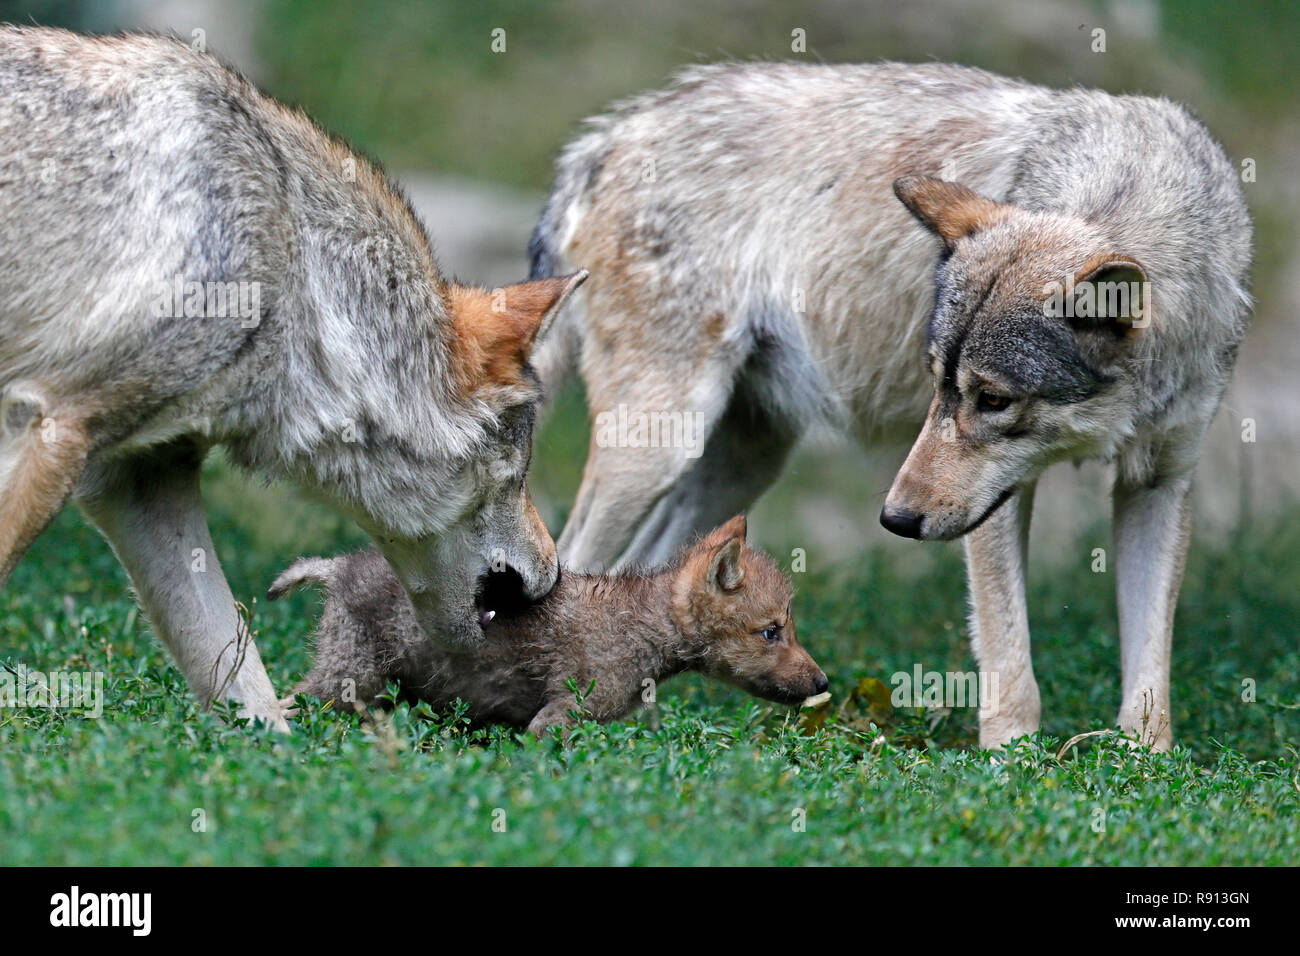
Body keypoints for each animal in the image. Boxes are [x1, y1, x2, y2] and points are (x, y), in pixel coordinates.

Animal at [0, 26, 584, 729]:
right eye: (519, 470)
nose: (556, 576)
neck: (293, 261)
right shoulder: (54, 428)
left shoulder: (137, 480)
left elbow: (247, 685)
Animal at [269, 514, 827, 736]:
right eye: (771, 632)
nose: (824, 682)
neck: (641, 629)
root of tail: (338, 566)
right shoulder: (557, 718)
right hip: (344, 681)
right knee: (279, 704)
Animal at [528, 62, 1252, 749]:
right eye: (939, 384)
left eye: (993, 399)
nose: (895, 520)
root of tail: (605, 137)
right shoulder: (995, 509)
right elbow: (1010, 665)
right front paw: (1011, 764)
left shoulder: (1159, 484)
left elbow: (1151, 673)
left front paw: (1144, 762)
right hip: (659, 448)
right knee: (579, 561)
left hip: (740, 464)